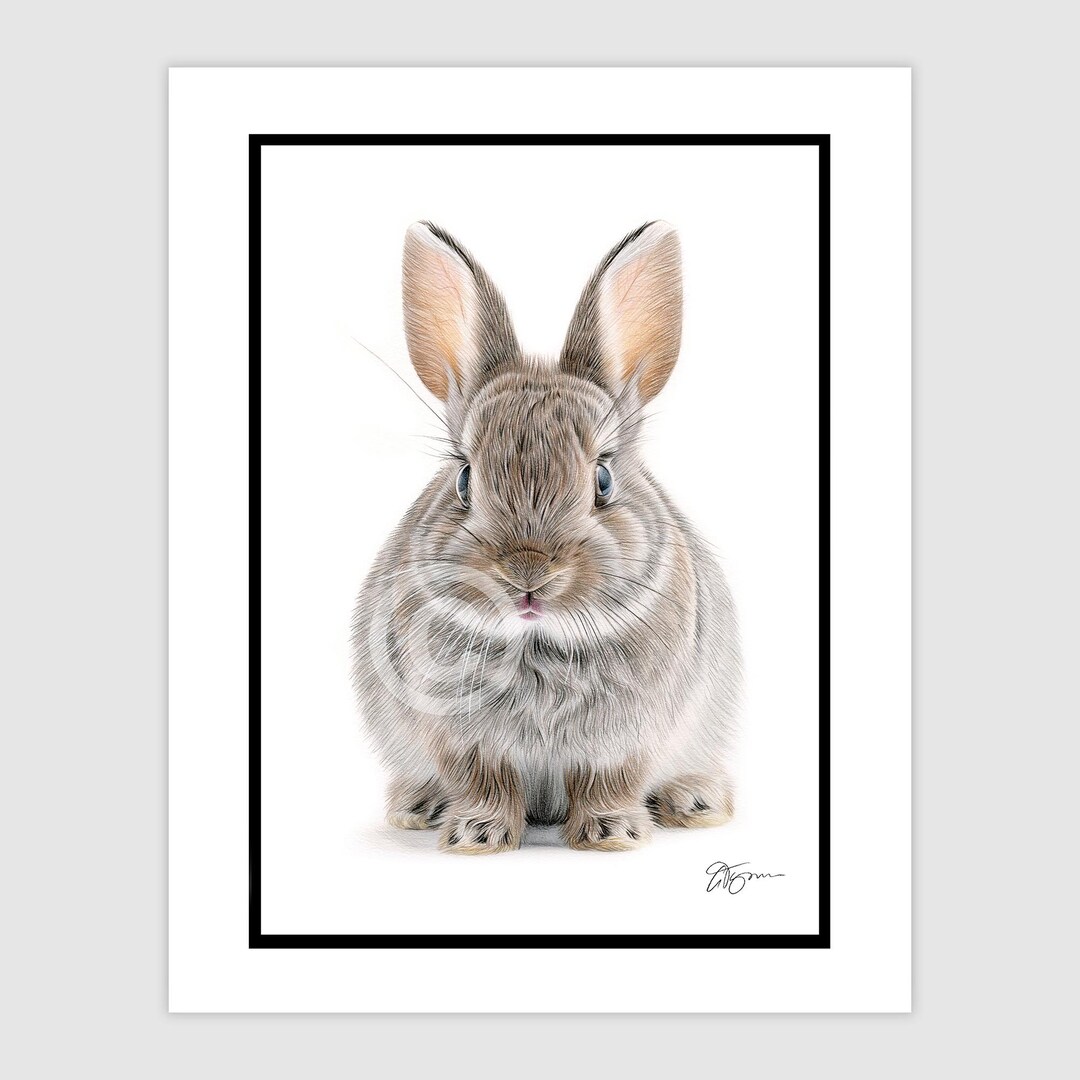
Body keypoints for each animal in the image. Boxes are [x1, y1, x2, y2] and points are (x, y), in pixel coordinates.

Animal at [351, 220, 741, 854]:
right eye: (463, 477)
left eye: (603, 479)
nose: (527, 575)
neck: (539, 641)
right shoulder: (460, 738)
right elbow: (485, 781)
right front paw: (476, 835)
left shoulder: (627, 737)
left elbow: (610, 780)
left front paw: (612, 833)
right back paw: (419, 805)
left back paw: (694, 800)